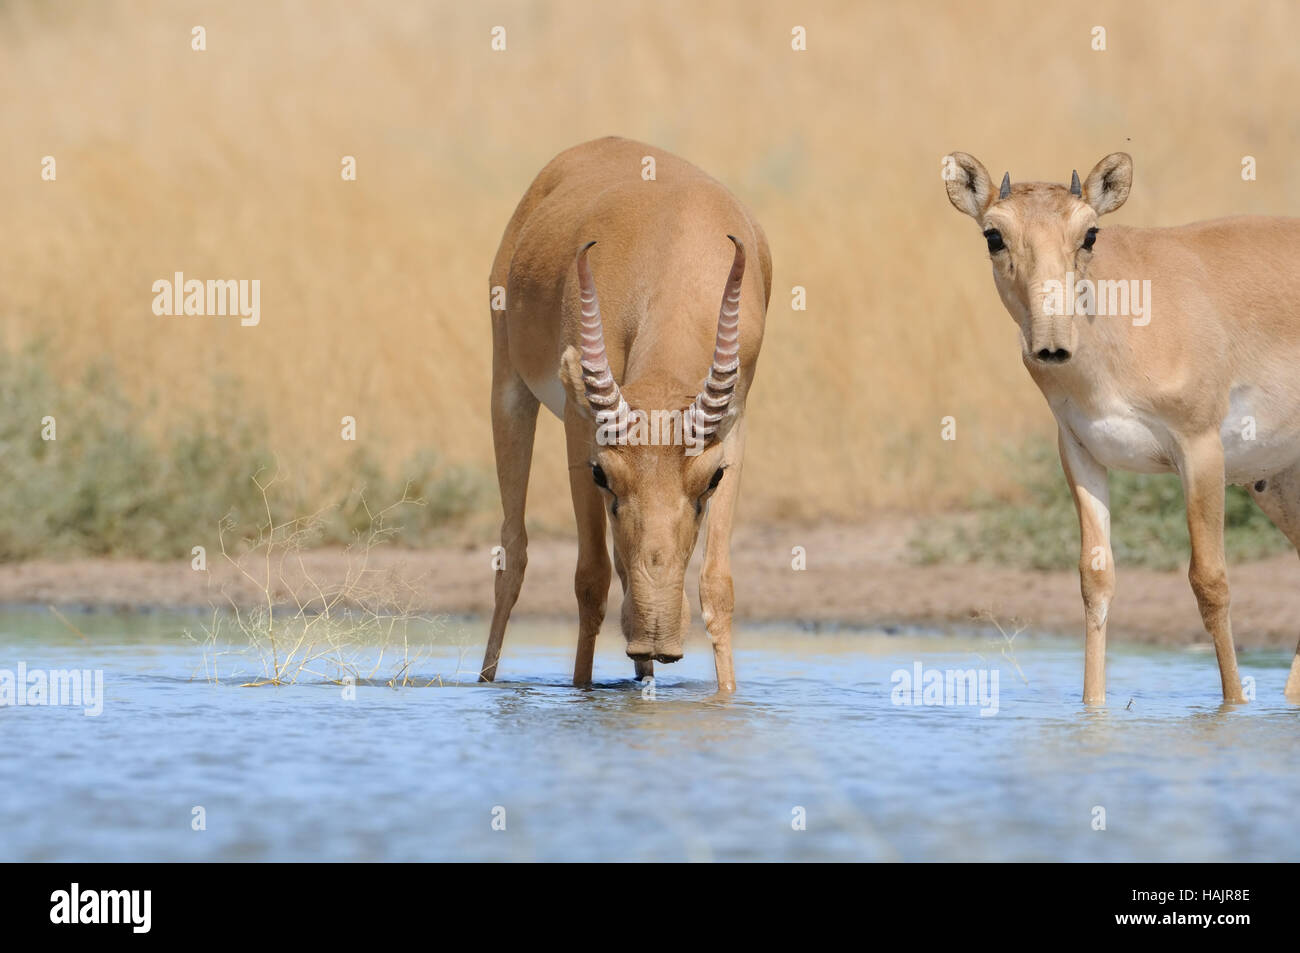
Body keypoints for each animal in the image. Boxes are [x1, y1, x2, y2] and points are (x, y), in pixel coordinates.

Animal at [481, 137, 771, 690]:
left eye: (711, 480)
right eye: (602, 474)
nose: (656, 640)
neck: (674, 243)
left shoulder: (737, 427)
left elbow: (717, 585)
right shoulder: (581, 428)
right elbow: (590, 578)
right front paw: (583, 690)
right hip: (508, 389)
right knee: (514, 550)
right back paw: (486, 680)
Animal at [944, 151, 1300, 704]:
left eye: (1090, 232)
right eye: (993, 235)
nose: (1052, 345)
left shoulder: (1199, 449)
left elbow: (1210, 581)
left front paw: (1235, 705)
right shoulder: (1081, 452)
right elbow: (1096, 579)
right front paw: (1093, 706)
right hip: (1276, 482)